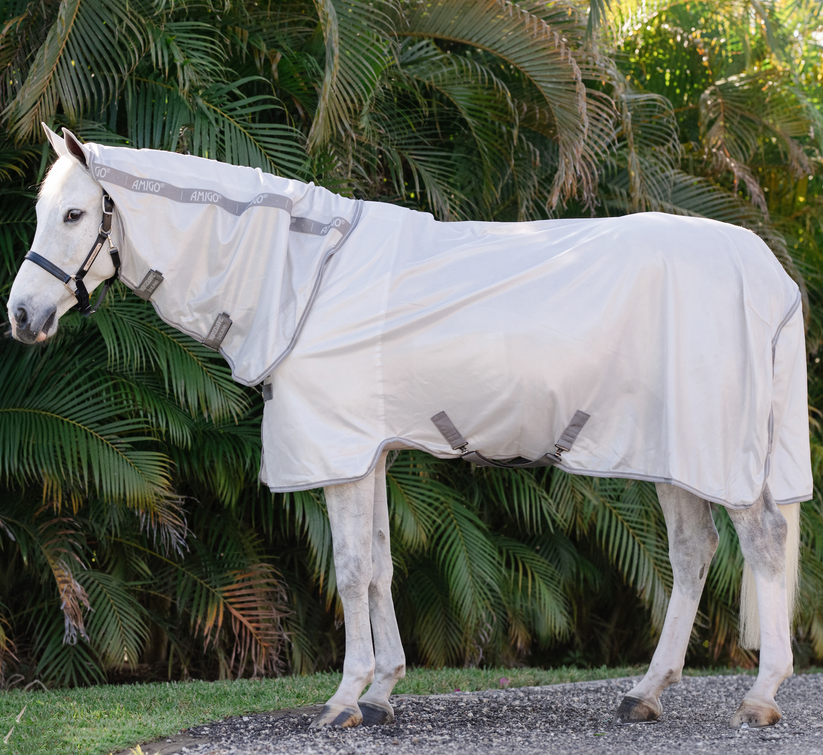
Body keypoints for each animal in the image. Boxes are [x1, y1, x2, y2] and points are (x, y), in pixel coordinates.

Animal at [7, 125, 810, 730]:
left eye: (75, 215)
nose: (20, 315)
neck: (303, 276)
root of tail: (769, 273)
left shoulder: (337, 454)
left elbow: (350, 569)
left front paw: (343, 698)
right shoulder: (370, 454)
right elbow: (382, 564)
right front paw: (385, 690)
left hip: (715, 451)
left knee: (763, 540)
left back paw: (761, 695)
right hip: (675, 453)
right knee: (695, 552)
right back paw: (645, 692)